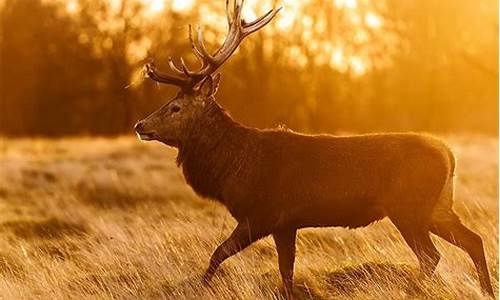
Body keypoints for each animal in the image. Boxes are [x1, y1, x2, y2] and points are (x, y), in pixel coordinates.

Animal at [133, 0, 492, 296]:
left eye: (176, 107)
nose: (140, 126)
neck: (234, 168)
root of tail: (448, 153)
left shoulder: (262, 214)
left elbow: (218, 254)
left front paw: (201, 288)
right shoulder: (286, 224)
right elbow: (286, 272)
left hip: (408, 208)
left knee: (432, 255)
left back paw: (413, 289)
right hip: (438, 206)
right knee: (473, 240)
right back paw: (485, 290)